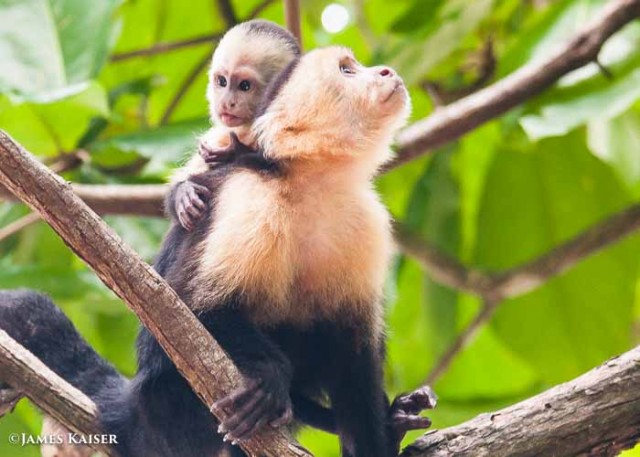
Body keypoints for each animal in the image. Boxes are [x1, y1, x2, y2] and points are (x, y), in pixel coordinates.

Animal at [0, 43, 435, 457]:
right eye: (347, 70)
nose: (386, 71)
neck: (314, 183)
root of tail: (137, 406)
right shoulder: (250, 195)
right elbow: (186, 309)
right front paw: (269, 374)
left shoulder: (367, 222)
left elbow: (354, 351)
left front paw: (373, 442)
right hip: (169, 408)